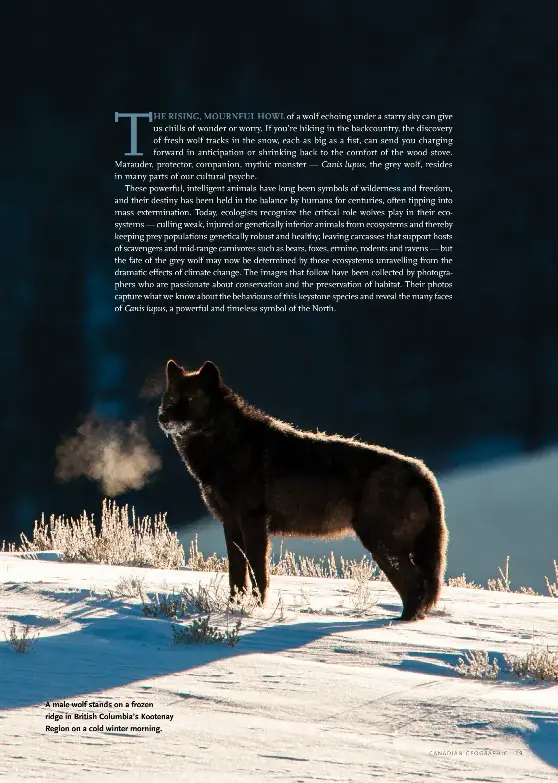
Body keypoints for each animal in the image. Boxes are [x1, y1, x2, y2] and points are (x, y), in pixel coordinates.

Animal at [158, 359, 448, 621]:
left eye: (189, 398)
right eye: (169, 398)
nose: (162, 417)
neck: (226, 445)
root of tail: (425, 474)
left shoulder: (253, 522)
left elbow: (257, 573)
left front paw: (256, 609)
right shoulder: (230, 524)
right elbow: (237, 574)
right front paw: (234, 606)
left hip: (381, 544)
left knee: (416, 587)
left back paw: (401, 623)